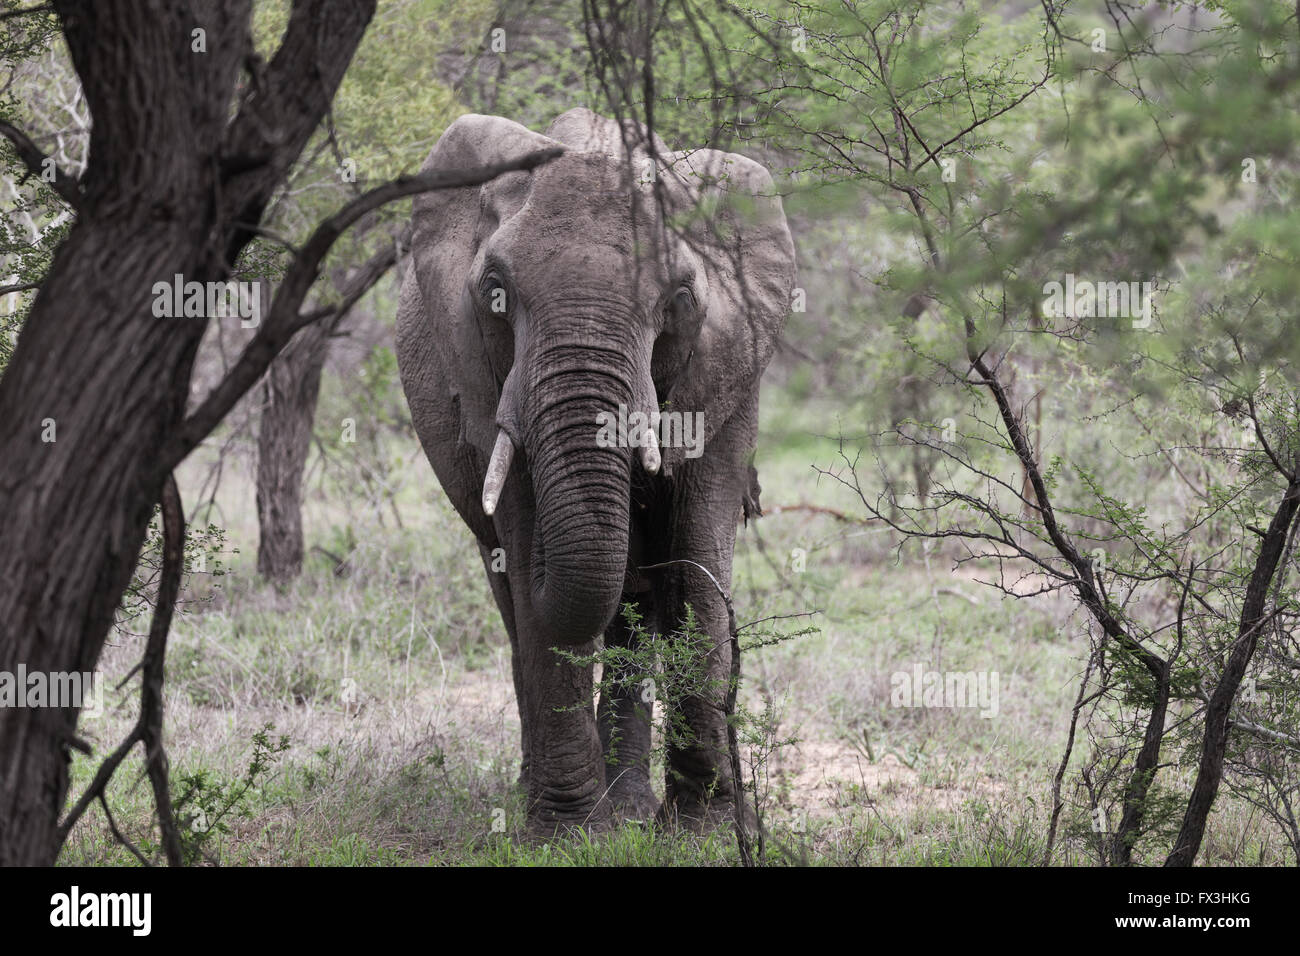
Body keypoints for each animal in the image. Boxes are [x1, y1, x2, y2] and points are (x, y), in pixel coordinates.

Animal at [395, 107, 796, 831]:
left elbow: (696, 560)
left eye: (679, 297)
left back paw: (632, 810)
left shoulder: (727, 364)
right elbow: (532, 560)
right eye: (495, 293)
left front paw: (708, 832)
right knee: (521, 597)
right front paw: (566, 833)